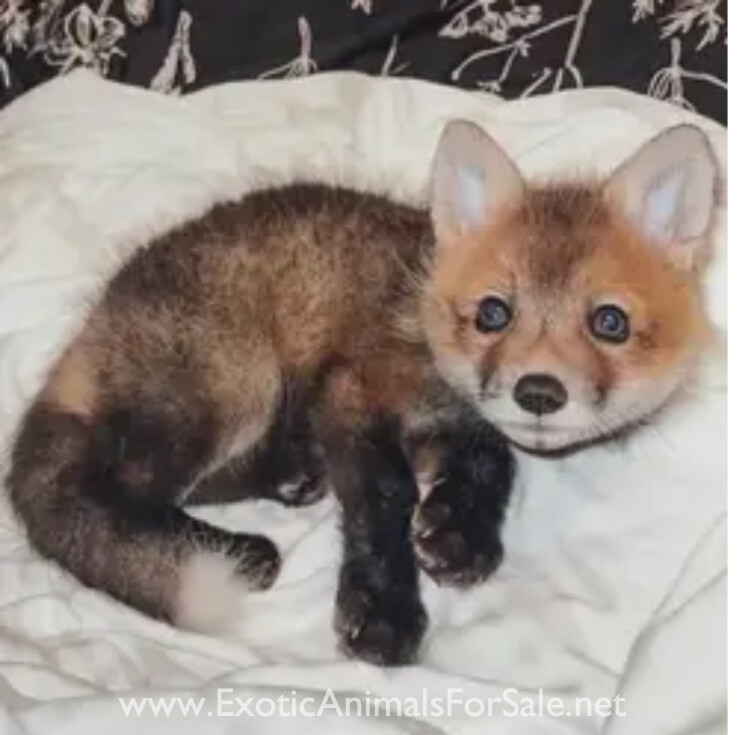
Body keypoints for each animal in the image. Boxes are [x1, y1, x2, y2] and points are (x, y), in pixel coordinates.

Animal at [6, 120, 718, 667]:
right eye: (494, 314)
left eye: (609, 323)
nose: (538, 392)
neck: (419, 315)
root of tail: (92, 327)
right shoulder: (350, 392)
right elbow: (386, 497)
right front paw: (384, 611)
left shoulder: (448, 423)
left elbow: (494, 461)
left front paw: (460, 530)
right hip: (238, 383)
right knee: (109, 489)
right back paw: (234, 550)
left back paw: (285, 476)